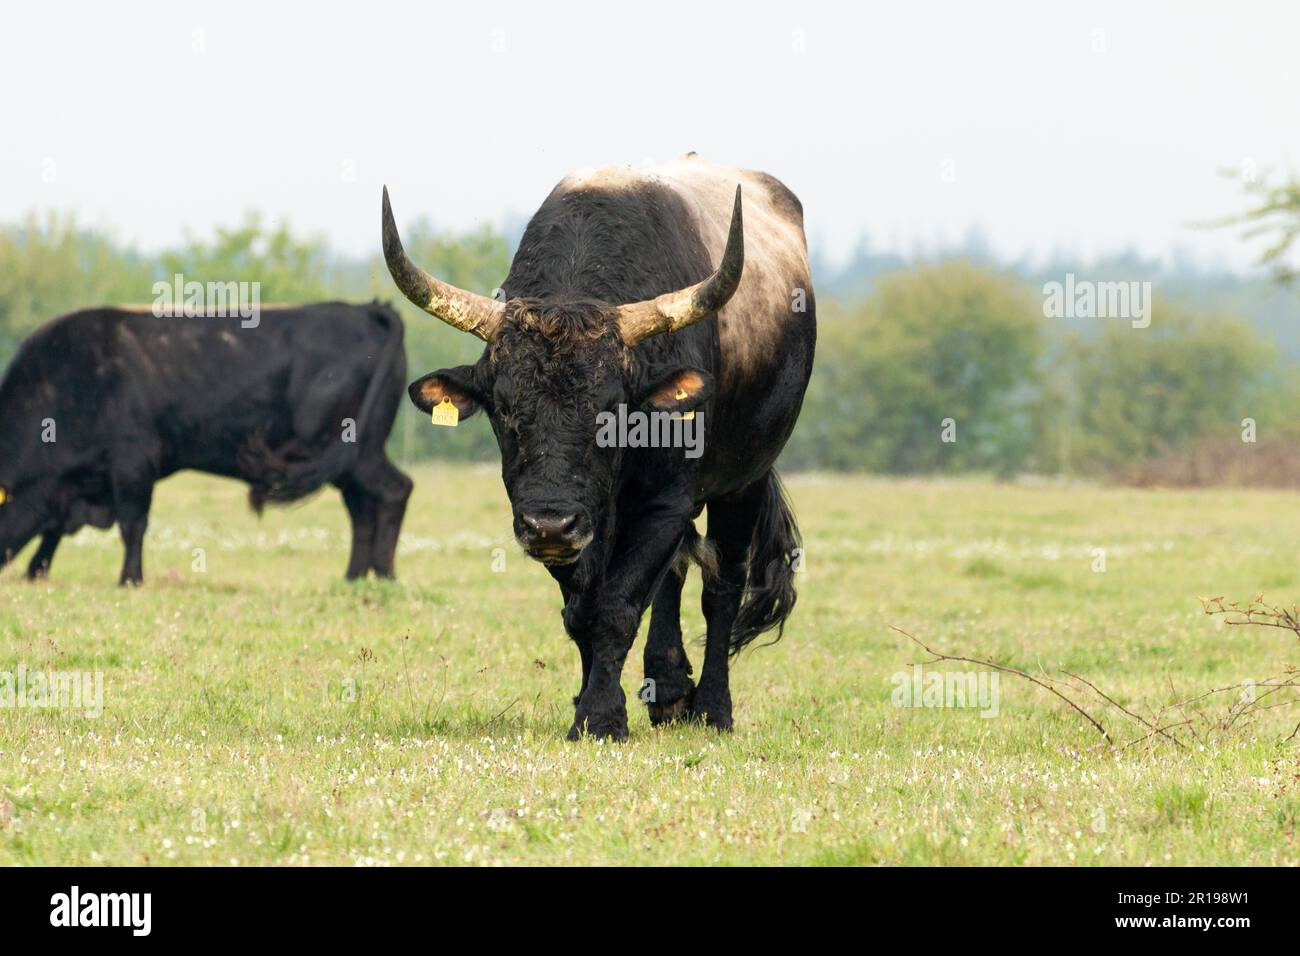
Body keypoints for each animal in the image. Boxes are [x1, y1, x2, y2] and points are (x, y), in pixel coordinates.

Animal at [0, 301, 412, 585]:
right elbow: (53, 529)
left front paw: (130, 579)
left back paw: (385, 576)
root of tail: (366, 310)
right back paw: (354, 577)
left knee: (395, 490)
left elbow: (133, 524)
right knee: (362, 509)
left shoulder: (133, 464)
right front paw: (36, 572)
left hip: (358, 452)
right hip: (349, 462)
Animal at [383, 154, 816, 740]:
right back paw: (668, 691)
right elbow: (584, 611)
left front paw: (603, 718)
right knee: (675, 576)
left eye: (612, 410)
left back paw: (711, 709)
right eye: (504, 409)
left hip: (744, 479)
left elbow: (618, 606)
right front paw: (593, 700)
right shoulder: (581, 525)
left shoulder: (665, 501)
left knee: (721, 587)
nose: (550, 524)